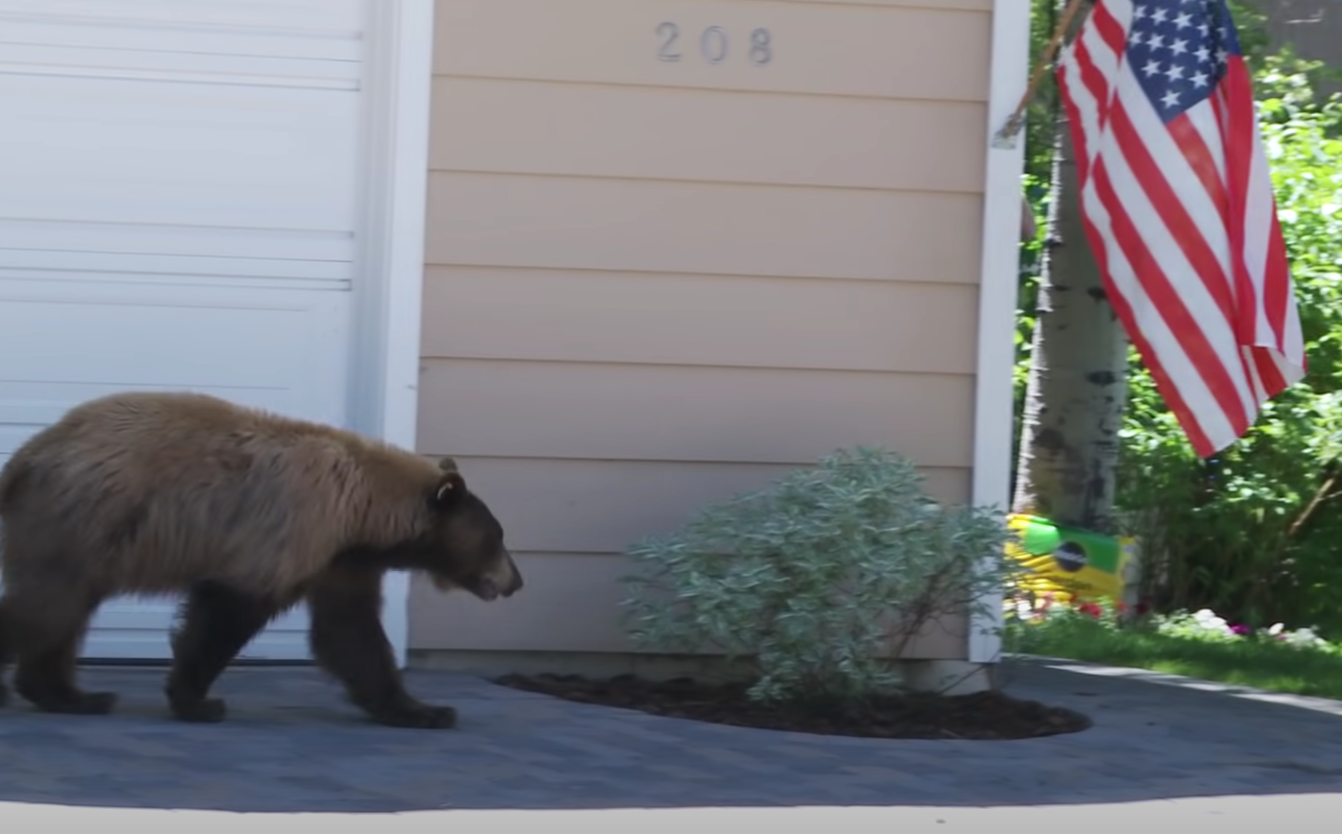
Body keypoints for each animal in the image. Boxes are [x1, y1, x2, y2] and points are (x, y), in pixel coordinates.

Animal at [0, 389, 523, 729]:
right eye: (496, 538)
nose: (516, 581)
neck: (363, 509)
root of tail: (25, 456)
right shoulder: (290, 529)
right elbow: (228, 611)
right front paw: (198, 701)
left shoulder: (339, 557)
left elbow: (350, 631)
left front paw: (424, 710)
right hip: (85, 518)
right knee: (46, 606)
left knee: (63, 612)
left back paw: (73, 695)